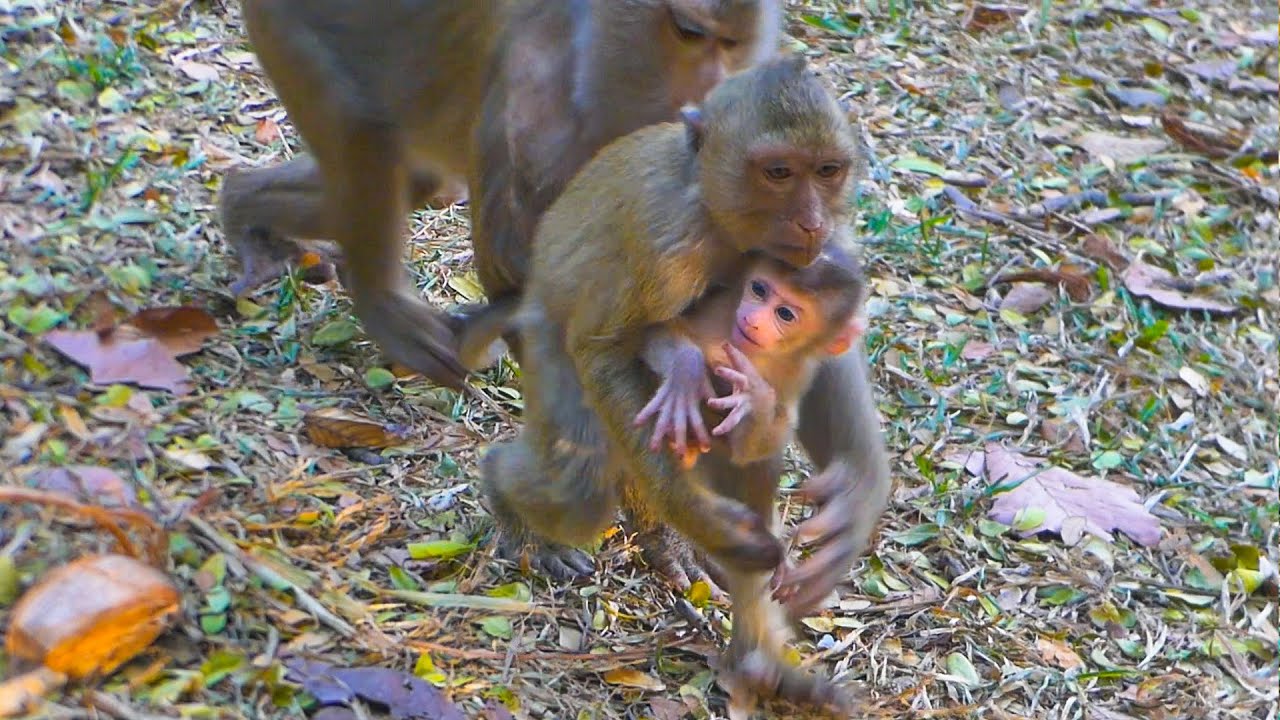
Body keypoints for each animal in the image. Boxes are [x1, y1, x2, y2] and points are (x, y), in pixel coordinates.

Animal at [219, 0, 782, 389]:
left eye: (734, 46)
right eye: (689, 32)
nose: (711, 95)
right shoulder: (535, 82)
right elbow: (523, 275)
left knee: (420, 183)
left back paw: (242, 203)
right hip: (288, 34)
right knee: (362, 133)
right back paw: (377, 299)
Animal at [479, 56, 862, 713]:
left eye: (827, 171)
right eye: (778, 172)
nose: (813, 220)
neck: (715, 213)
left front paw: (858, 497)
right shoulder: (666, 243)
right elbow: (605, 347)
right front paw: (706, 522)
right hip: (545, 349)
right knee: (580, 477)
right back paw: (512, 498)